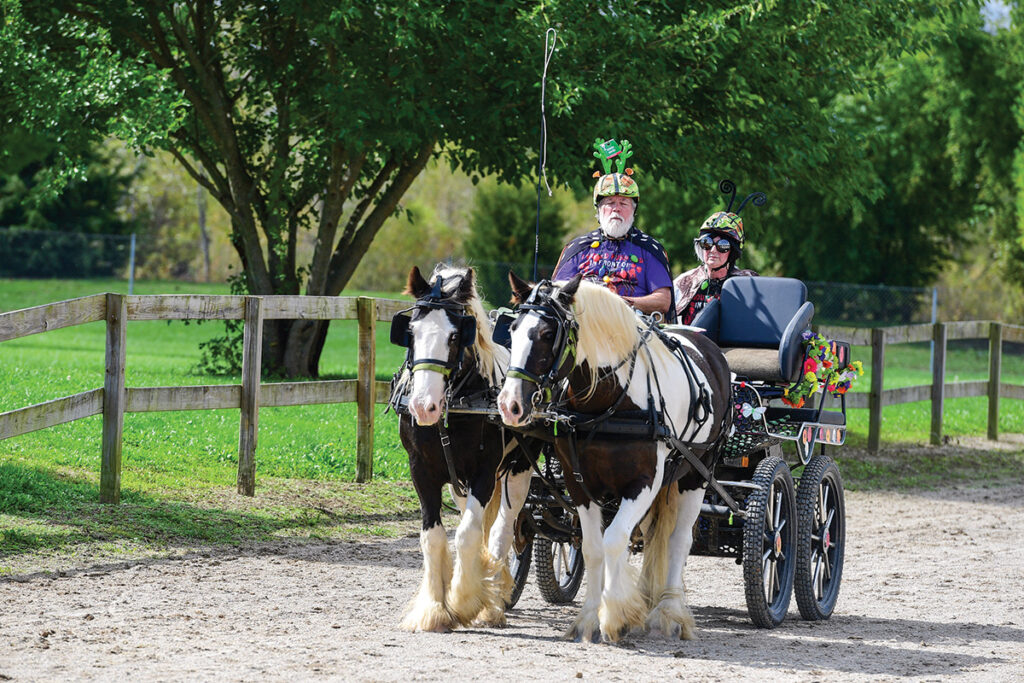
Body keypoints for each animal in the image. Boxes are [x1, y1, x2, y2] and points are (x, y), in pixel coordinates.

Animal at [392, 264, 534, 633]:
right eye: (411, 332)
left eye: (455, 336)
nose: (423, 406)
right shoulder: (422, 470)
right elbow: (434, 537)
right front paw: (434, 609)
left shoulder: (485, 471)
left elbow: (469, 534)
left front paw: (467, 600)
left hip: (519, 470)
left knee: (501, 529)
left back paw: (493, 601)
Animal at [496, 273, 733, 643]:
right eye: (513, 328)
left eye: (548, 335)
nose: (510, 405)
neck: (610, 402)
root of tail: (709, 347)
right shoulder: (579, 484)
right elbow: (595, 546)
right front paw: (592, 617)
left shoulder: (643, 483)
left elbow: (615, 540)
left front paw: (614, 615)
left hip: (698, 473)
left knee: (679, 540)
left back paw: (669, 612)